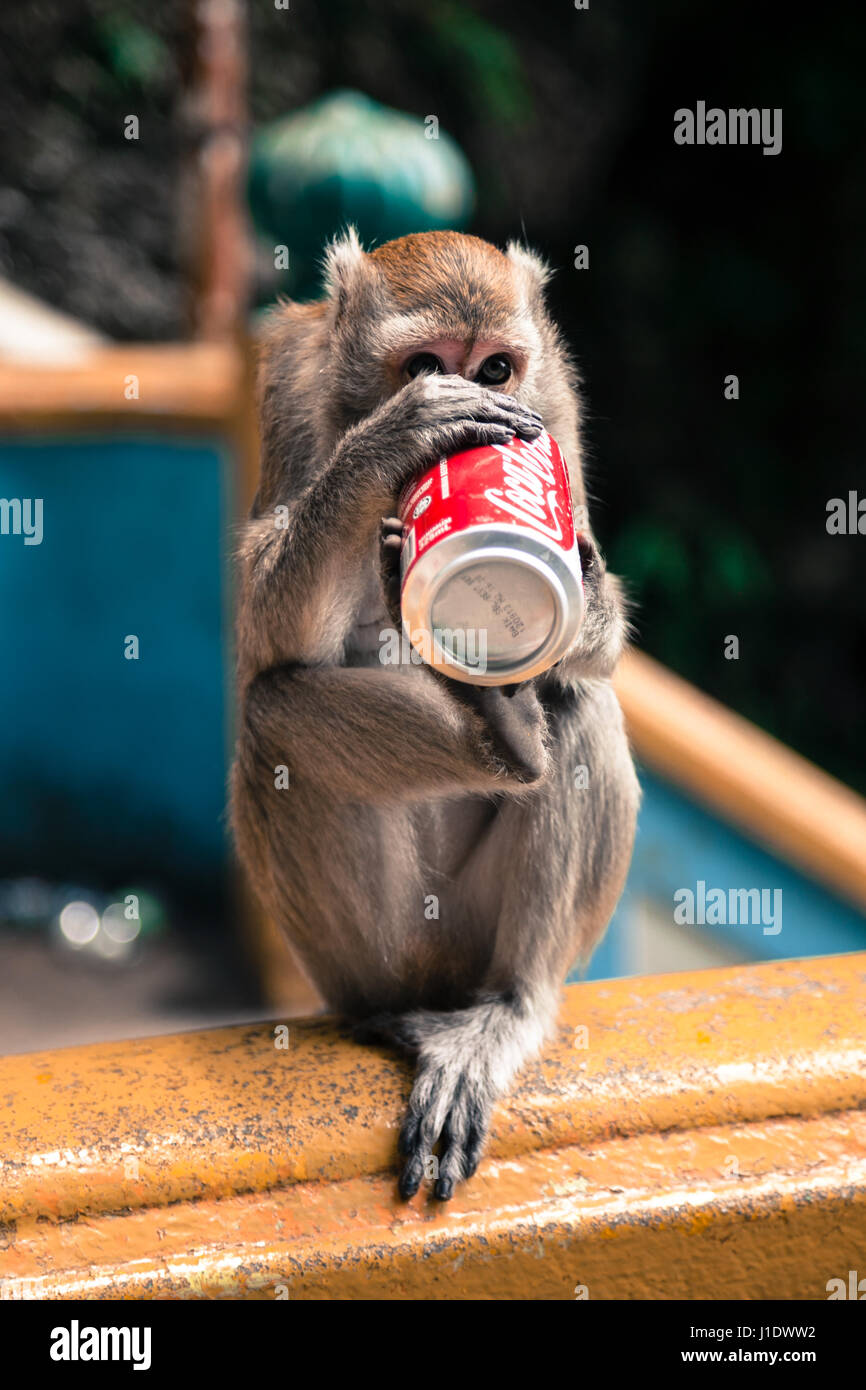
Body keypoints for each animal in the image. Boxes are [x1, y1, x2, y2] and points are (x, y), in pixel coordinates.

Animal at [231, 228, 639, 1201]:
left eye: (496, 368)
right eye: (425, 365)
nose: (475, 397)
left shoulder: (551, 399)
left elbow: (596, 655)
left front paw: (576, 577)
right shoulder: (290, 381)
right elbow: (265, 637)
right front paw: (397, 439)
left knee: (578, 703)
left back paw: (508, 1005)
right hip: (378, 951)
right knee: (272, 718)